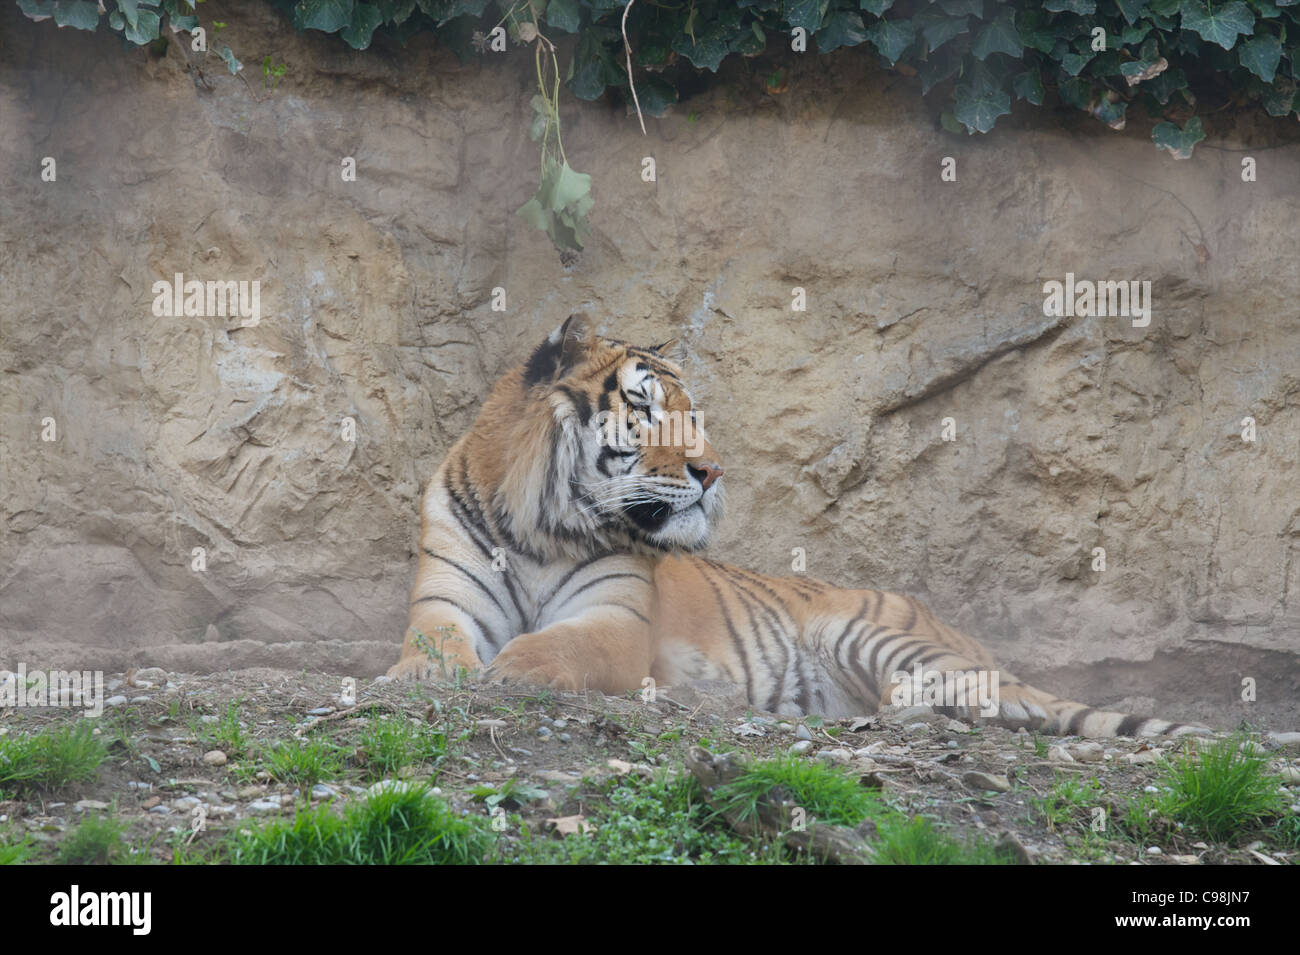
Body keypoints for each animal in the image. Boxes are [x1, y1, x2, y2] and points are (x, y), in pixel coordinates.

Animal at [388, 313, 1208, 738]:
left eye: (693, 414)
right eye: (645, 408)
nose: (712, 471)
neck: (538, 529)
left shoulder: (616, 622)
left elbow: (563, 644)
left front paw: (512, 668)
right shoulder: (447, 601)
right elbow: (432, 645)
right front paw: (422, 675)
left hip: (867, 632)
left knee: (976, 696)